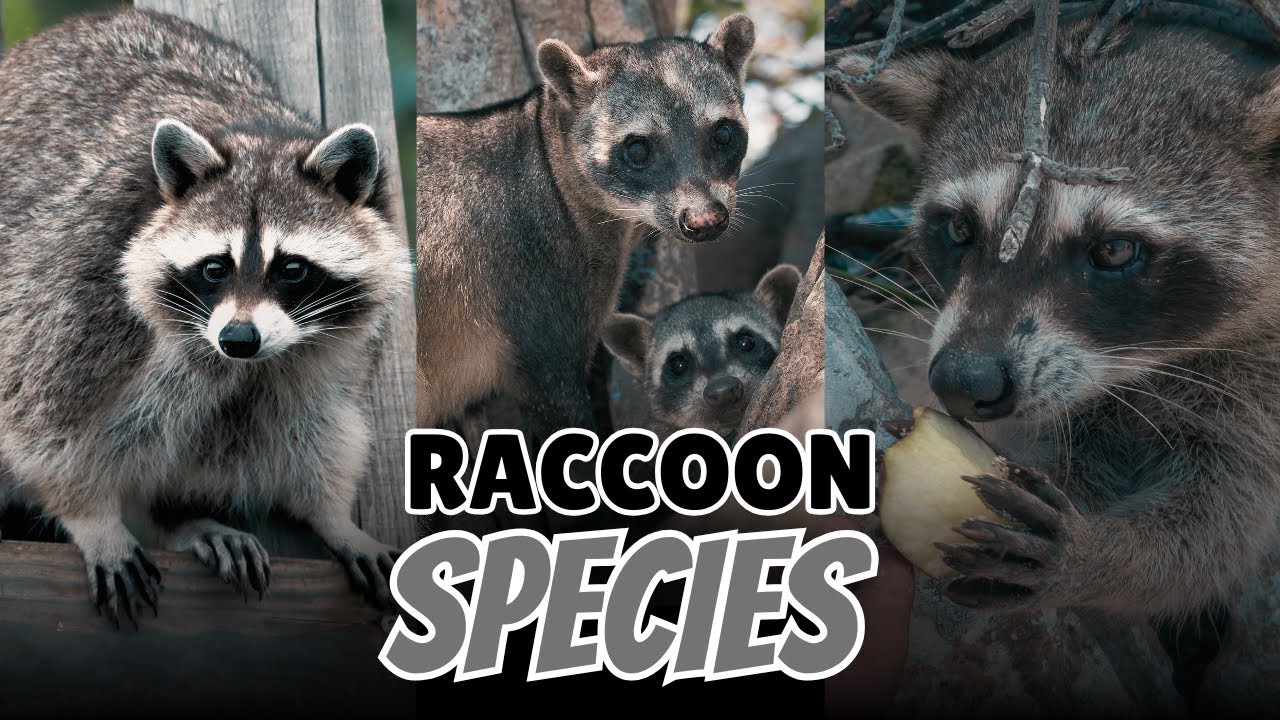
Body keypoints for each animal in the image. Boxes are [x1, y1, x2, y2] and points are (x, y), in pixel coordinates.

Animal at [0, 9, 411, 625]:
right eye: (215, 268)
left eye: (292, 269)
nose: (238, 339)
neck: (256, 133)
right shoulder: (77, 284)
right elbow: (39, 416)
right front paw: (91, 516)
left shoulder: (327, 344)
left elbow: (315, 420)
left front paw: (333, 517)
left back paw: (187, 515)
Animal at [830, 20, 1280, 618]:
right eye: (960, 229)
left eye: (1114, 250)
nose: (962, 382)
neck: (1138, 372)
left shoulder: (1259, 386)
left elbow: (1219, 532)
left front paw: (1100, 554)